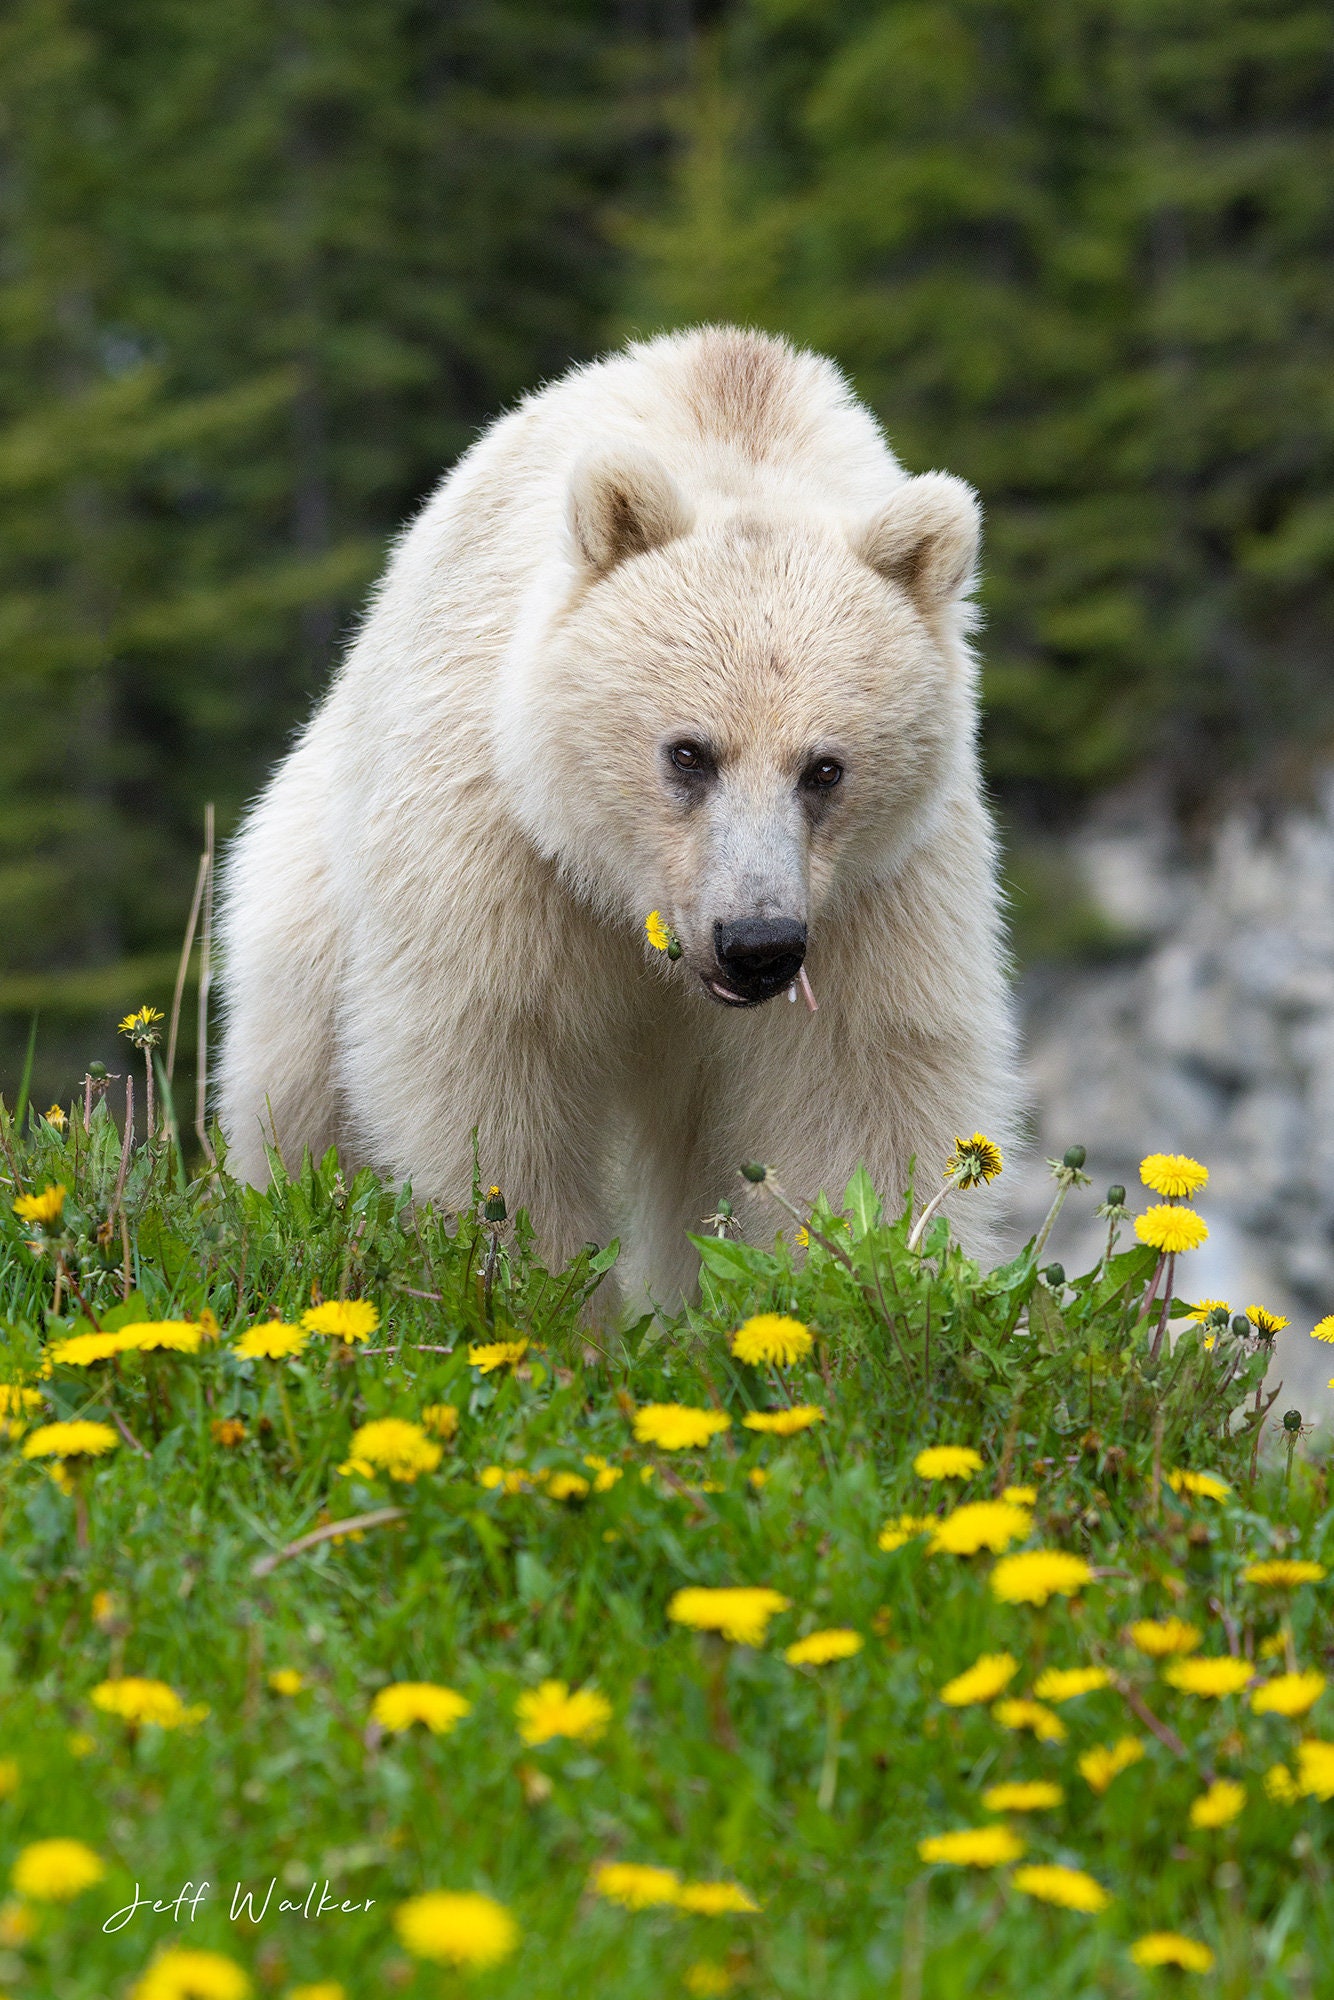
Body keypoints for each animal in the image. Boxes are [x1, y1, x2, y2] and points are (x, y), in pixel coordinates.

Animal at [216, 325, 1018, 1305]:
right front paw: (539, 1293)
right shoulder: (502, 845)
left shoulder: (880, 894)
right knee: (297, 1089)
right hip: (312, 879)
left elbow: (863, 1095)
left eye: (825, 769)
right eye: (688, 752)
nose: (757, 944)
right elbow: (488, 1082)